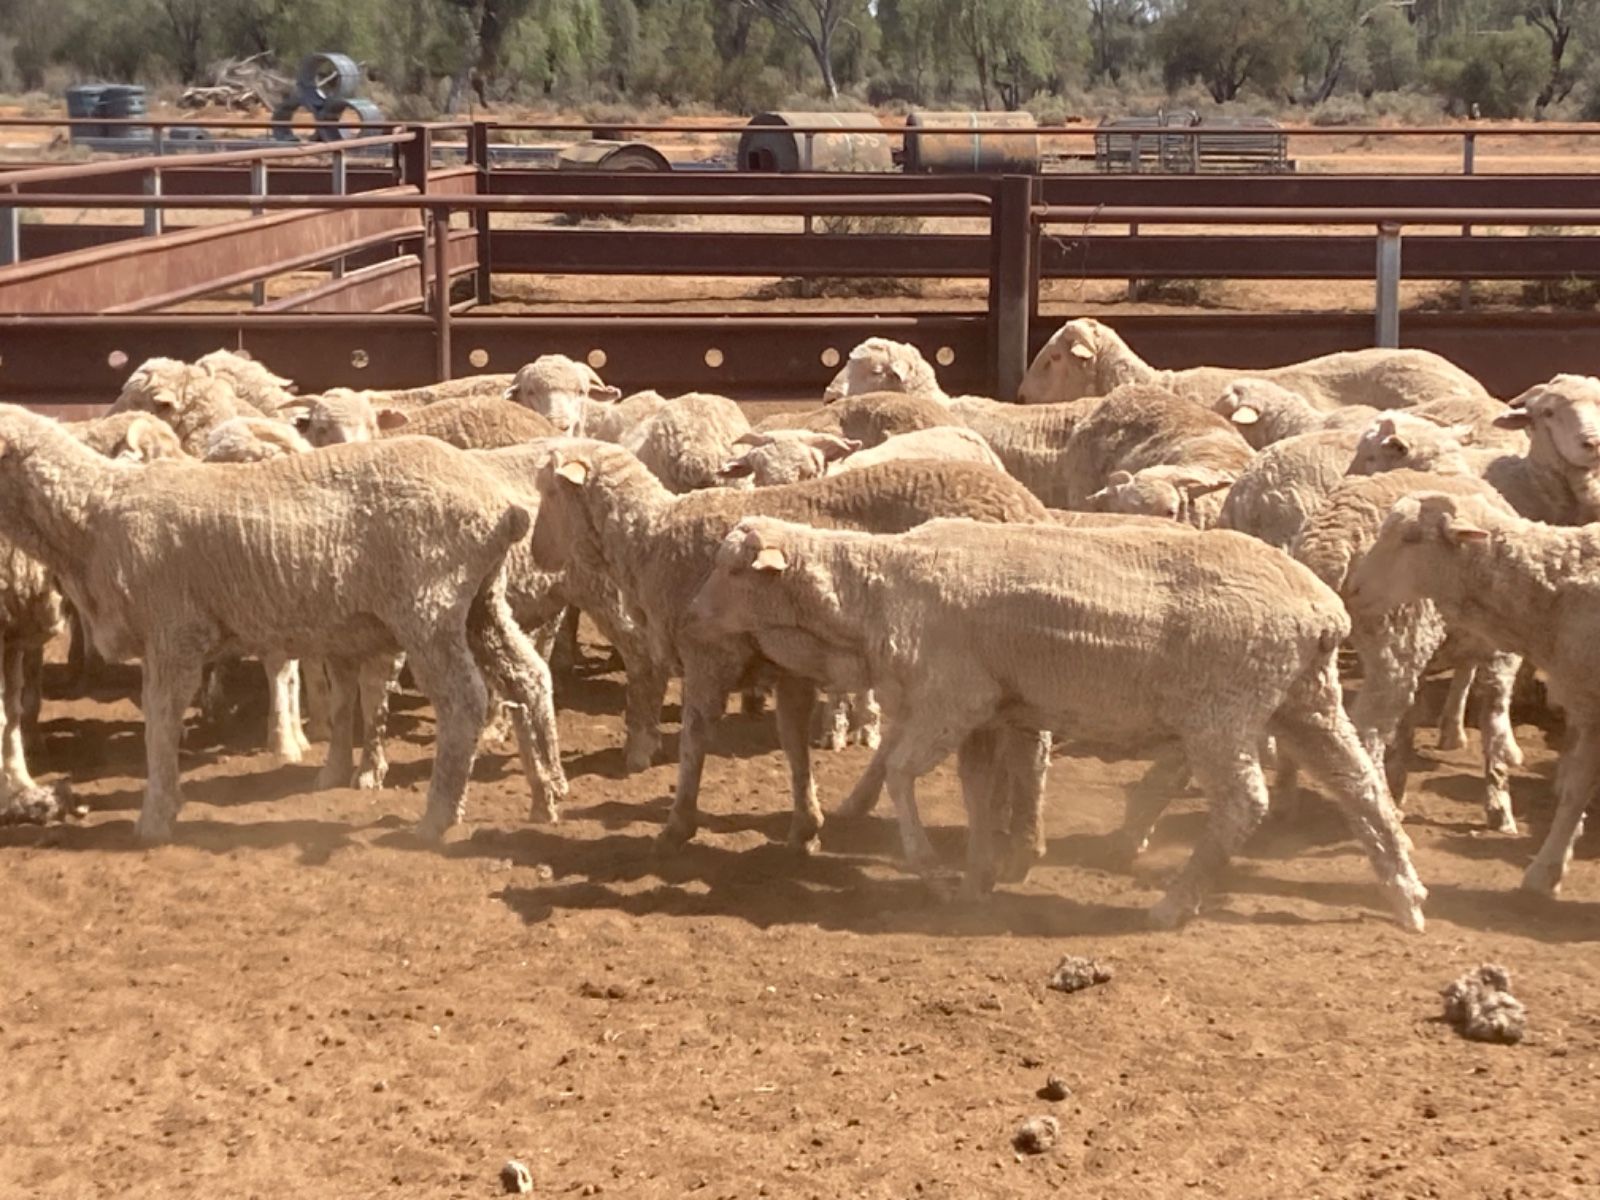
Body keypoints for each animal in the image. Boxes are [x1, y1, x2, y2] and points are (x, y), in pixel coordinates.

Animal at [0, 405, 565, 843]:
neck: (94, 516)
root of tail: (501, 505)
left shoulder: (174, 633)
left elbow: (158, 725)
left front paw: (155, 817)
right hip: (481, 603)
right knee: (529, 675)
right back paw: (547, 791)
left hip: (430, 605)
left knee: (464, 700)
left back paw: (438, 818)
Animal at [529, 441, 1051, 858]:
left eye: (548, 492)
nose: (535, 554)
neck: (649, 541)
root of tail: (1026, 504)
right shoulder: (786, 670)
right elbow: (793, 743)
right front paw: (806, 826)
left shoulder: (709, 656)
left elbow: (694, 740)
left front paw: (678, 825)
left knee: (1030, 742)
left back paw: (1023, 836)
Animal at [686, 515, 1427, 931]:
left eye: (730, 568)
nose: (691, 614)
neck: (871, 592)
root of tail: (1322, 610)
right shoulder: (988, 711)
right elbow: (976, 794)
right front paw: (978, 879)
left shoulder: (951, 699)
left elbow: (899, 773)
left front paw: (932, 872)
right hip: (1306, 700)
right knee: (1363, 788)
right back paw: (1407, 897)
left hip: (1225, 710)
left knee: (1246, 803)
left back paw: (1172, 906)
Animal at [1294, 471, 1524, 832]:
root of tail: (1329, 544)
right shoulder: (1502, 653)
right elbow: (1494, 720)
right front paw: (1499, 806)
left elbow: (1411, 722)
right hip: (1396, 640)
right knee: (1368, 733)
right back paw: (1384, 810)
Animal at [1346, 489, 1600, 894]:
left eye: (1412, 538)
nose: (1353, 590)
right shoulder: (1590, 705)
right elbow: (1576, 790)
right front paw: (1548, 872)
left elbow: (1575, 790)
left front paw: (1543, 872)